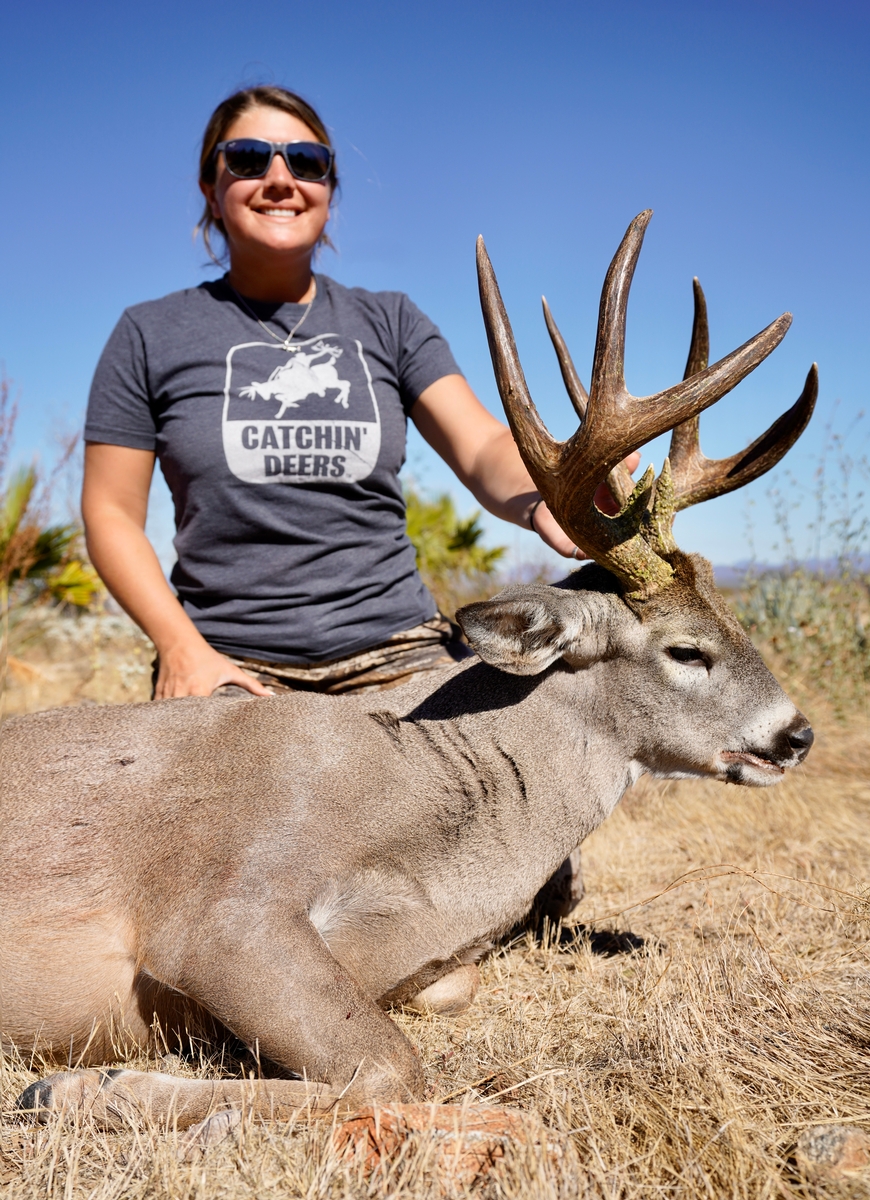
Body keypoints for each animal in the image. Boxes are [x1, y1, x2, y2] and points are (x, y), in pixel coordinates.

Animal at [5, 211, 817, 1133]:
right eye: (687, 649)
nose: (797, 734)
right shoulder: (220, 907)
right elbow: (393, 1068)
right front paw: (85, 1086)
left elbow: (439, 1001)